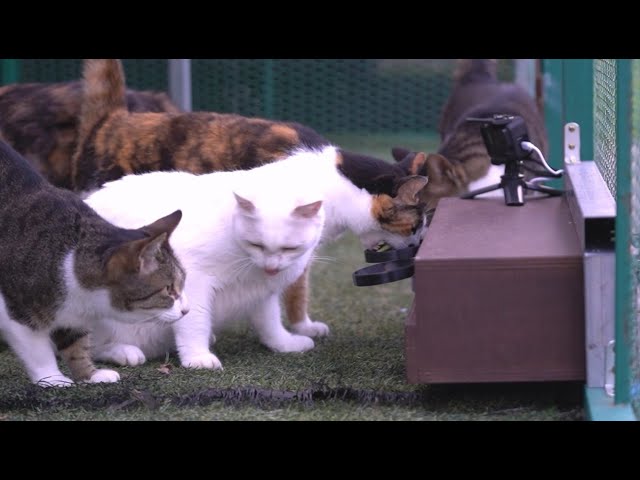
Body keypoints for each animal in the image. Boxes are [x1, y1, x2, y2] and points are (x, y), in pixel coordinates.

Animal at [0, 139, 188, 386]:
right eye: (169, 289)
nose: (186, 310)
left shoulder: (73, 313)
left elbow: (76, 344)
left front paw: (90, 374)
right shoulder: (16, 309)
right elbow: (36, 348)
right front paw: (52, 378)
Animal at [73, 59, 434, 340]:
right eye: (414, 225)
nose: (419, 243)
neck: (335, 180)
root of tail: (111, 120)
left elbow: (296, 284)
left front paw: (300, 326)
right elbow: (296, 286)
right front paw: (299, 328)